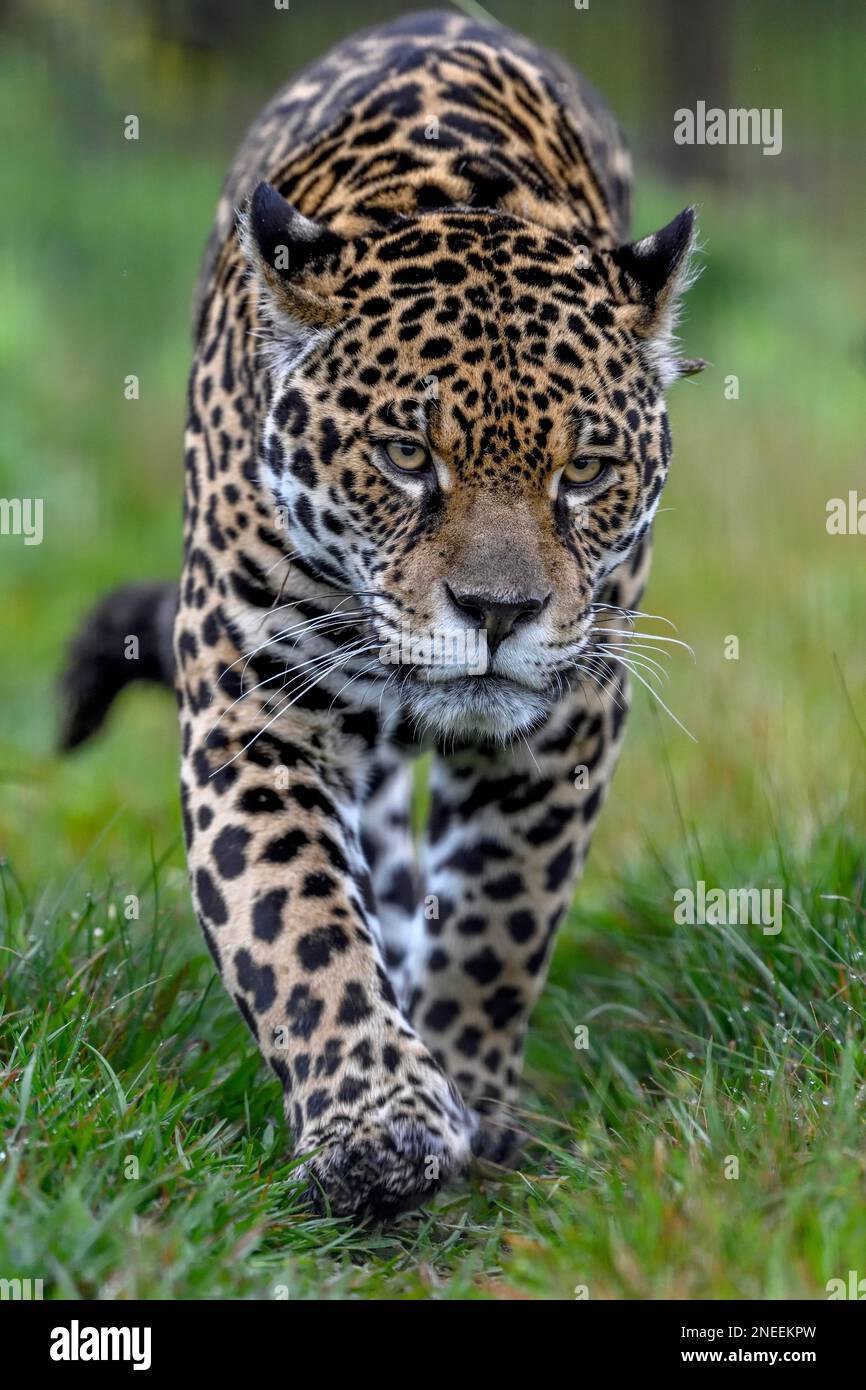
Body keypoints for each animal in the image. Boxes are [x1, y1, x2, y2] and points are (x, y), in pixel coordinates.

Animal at [61, 9, 705, 1220]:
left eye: (586, 471)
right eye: (407, 458)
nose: (499, 611)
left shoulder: (563, 723)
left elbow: (500, 921)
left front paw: (466, 1098)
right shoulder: (255, 713)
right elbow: (297, 918)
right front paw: (380, 1126)